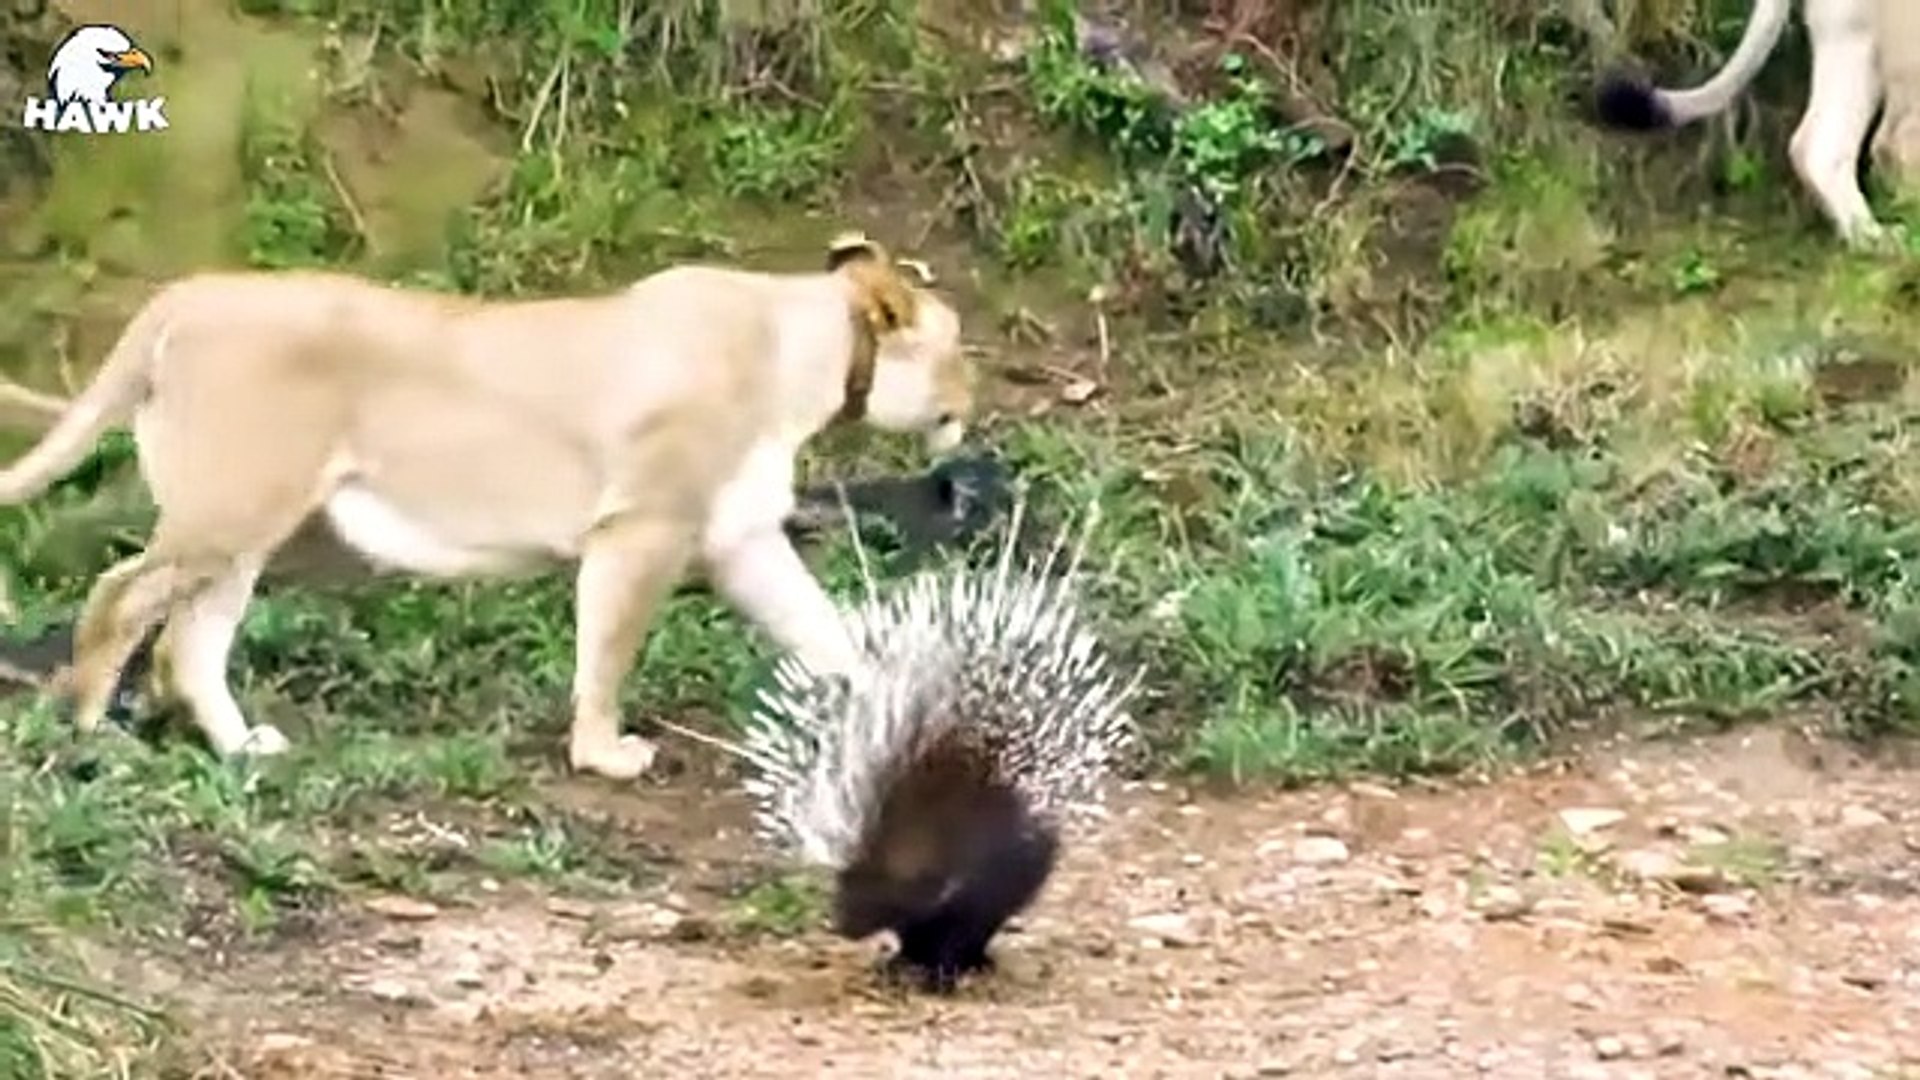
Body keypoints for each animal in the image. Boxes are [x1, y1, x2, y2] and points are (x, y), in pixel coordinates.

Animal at [0, 234, 974, 780]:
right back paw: (91, 736)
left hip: (252, 529)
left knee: (188, 643)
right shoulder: (644, 526)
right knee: (122, 594)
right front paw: (603, 755)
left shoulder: (740, 537)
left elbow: (823, 628)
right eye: (959, 346)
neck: (806, 351)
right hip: (232, 509)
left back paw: (242, 750)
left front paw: (901, 702)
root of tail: (187, 291)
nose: (975, 401)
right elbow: (609, 650)